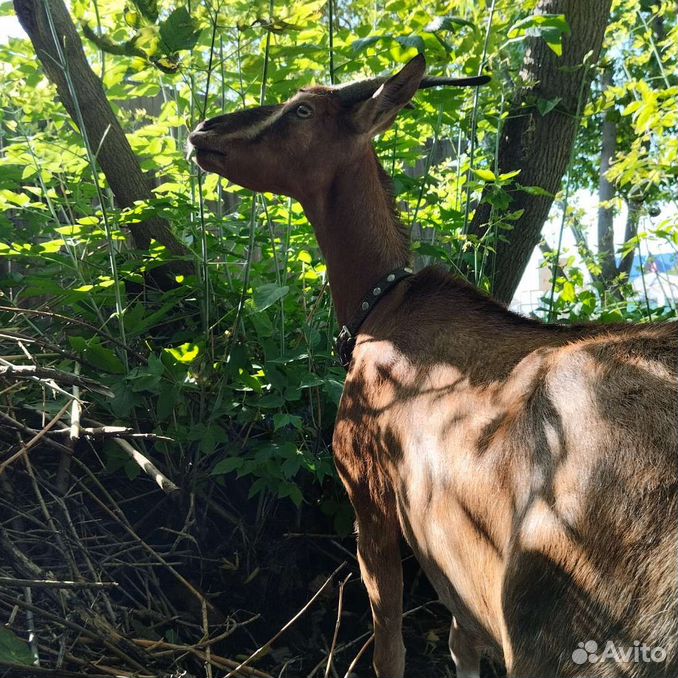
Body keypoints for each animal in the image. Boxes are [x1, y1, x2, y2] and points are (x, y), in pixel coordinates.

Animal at [190, 55, 678, 676]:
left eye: (302, 109)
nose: (204, 130)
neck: (383, 308)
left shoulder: (367, 491)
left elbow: (389, 644)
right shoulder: (453, 560)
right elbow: (458, 640)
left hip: (566, 632)